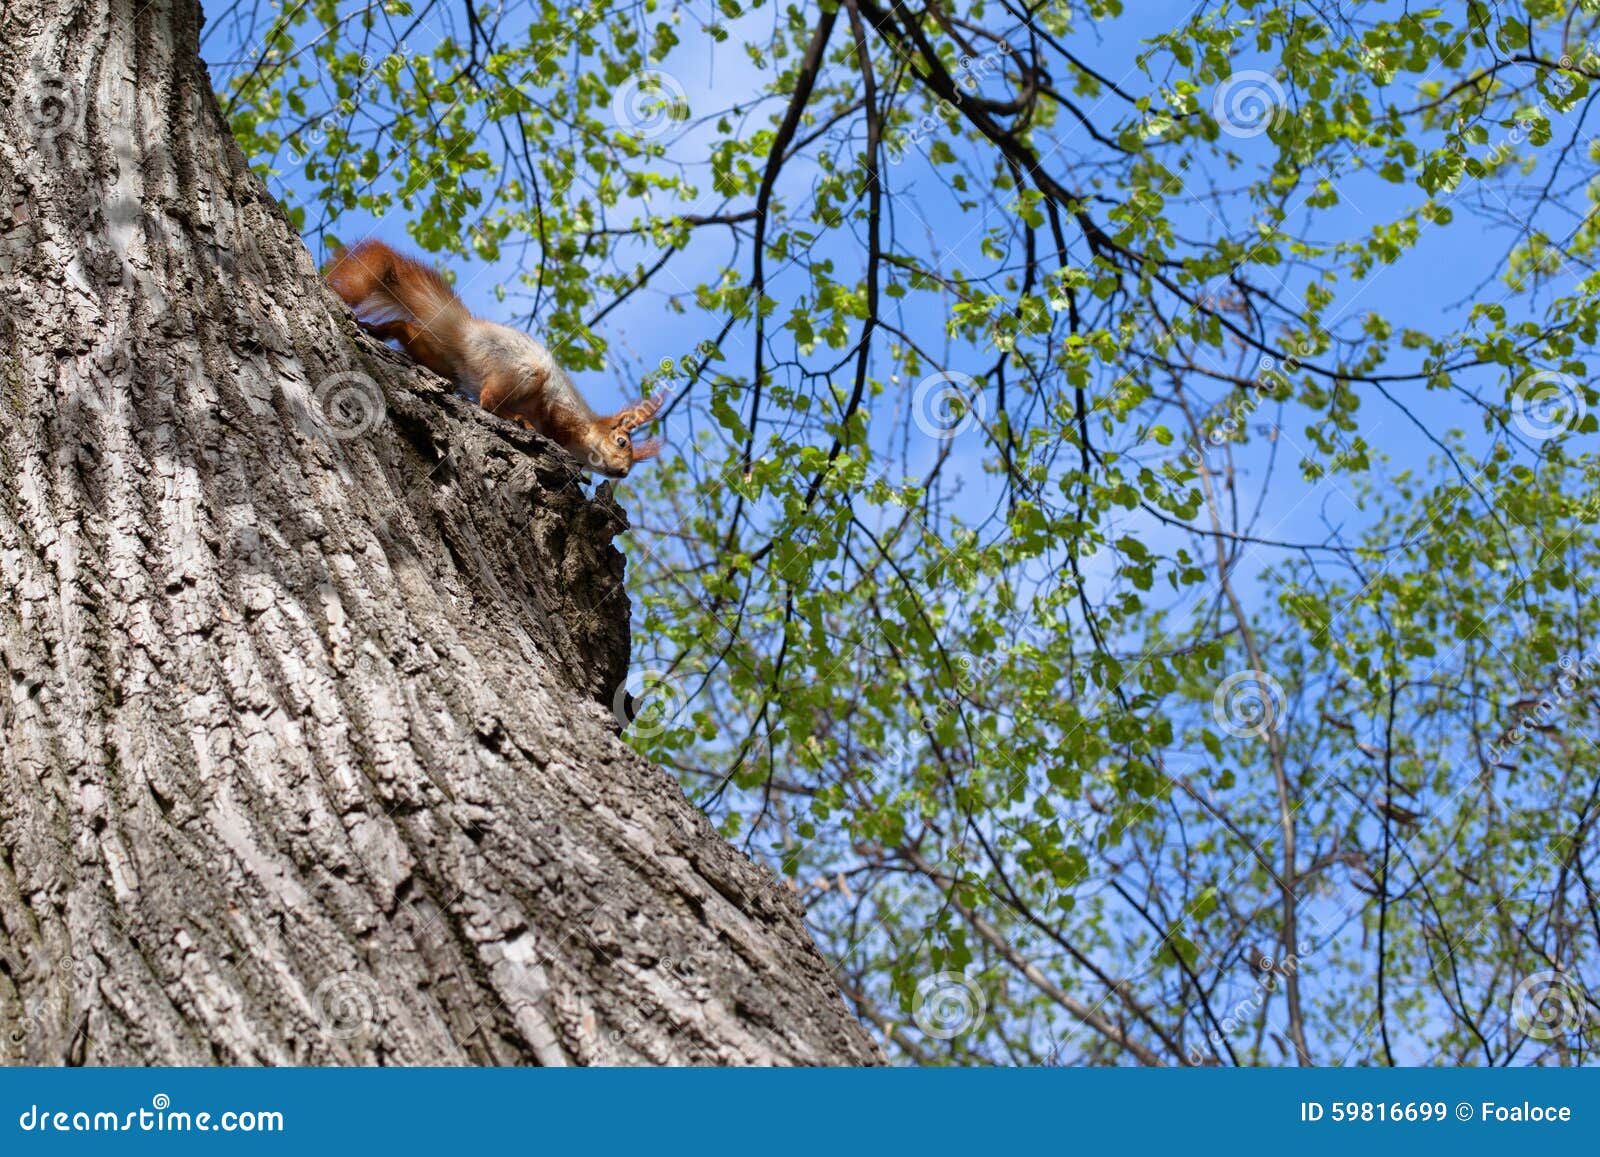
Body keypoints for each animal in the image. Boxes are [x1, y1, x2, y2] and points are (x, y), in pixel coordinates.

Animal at [324, 239, 661, 478]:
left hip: (439, 354)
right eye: (622, 442)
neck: (583, 430)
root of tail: (467, 332)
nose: (623, 473)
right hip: (518, 371)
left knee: (405, 329)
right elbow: (551, 423)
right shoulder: (560, 412)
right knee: (488, 400)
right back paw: (515, 417)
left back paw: (378, 330)